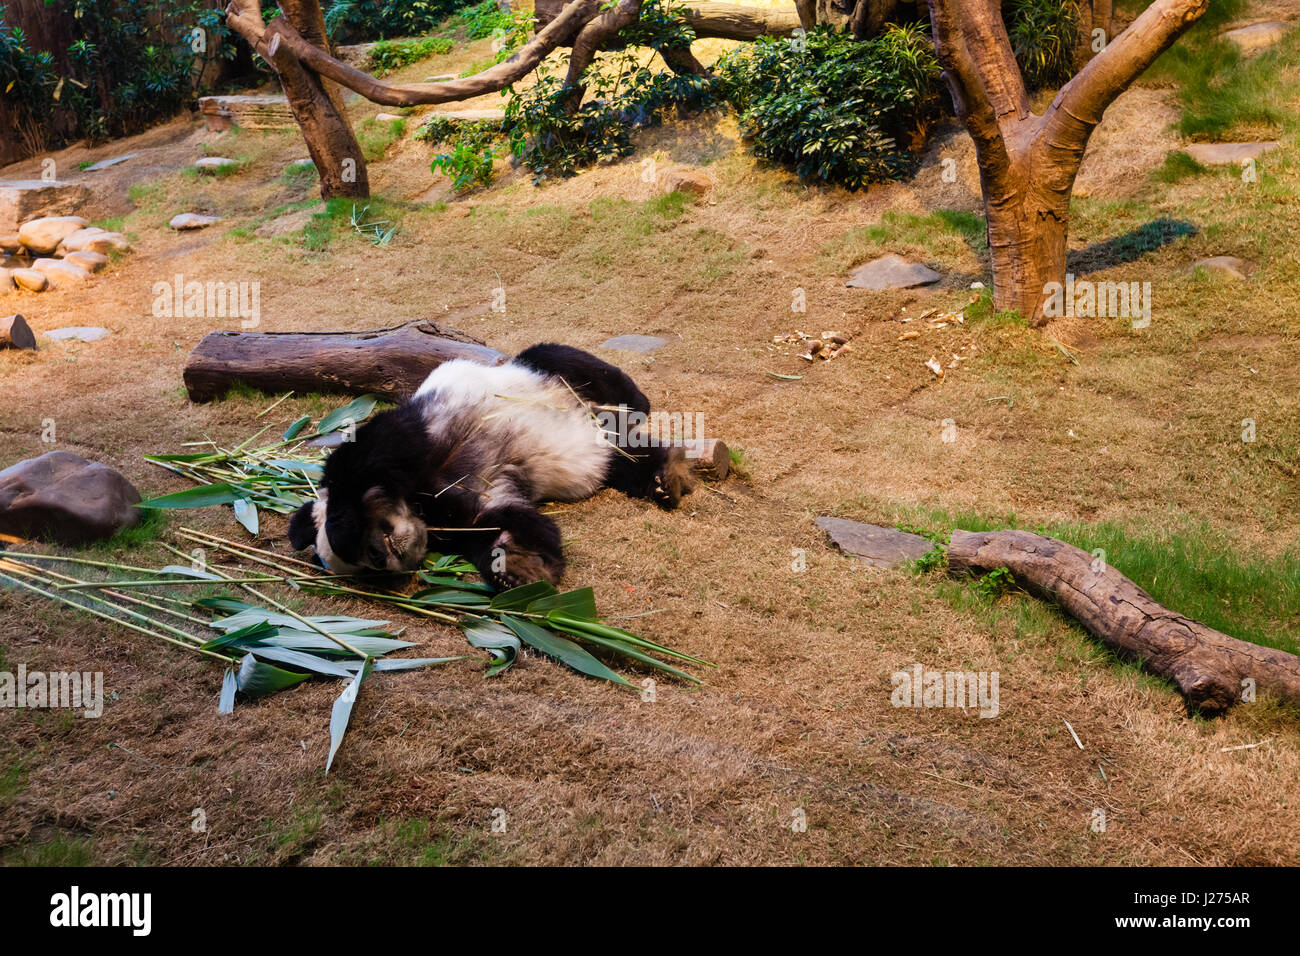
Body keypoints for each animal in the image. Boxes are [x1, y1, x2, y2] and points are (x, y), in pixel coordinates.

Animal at [287, 343, 694, 589]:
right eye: (374, 570)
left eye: (372, 554)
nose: (391, 560)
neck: (416, 505)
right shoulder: (476, 502)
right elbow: (504, 521)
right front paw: (516, 569)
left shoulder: (402, 436)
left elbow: (367, 456)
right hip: (601, 444)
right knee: (624, 456)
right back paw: (664, 476)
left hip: (544, 376)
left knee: (570, 363)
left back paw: (641, 414)